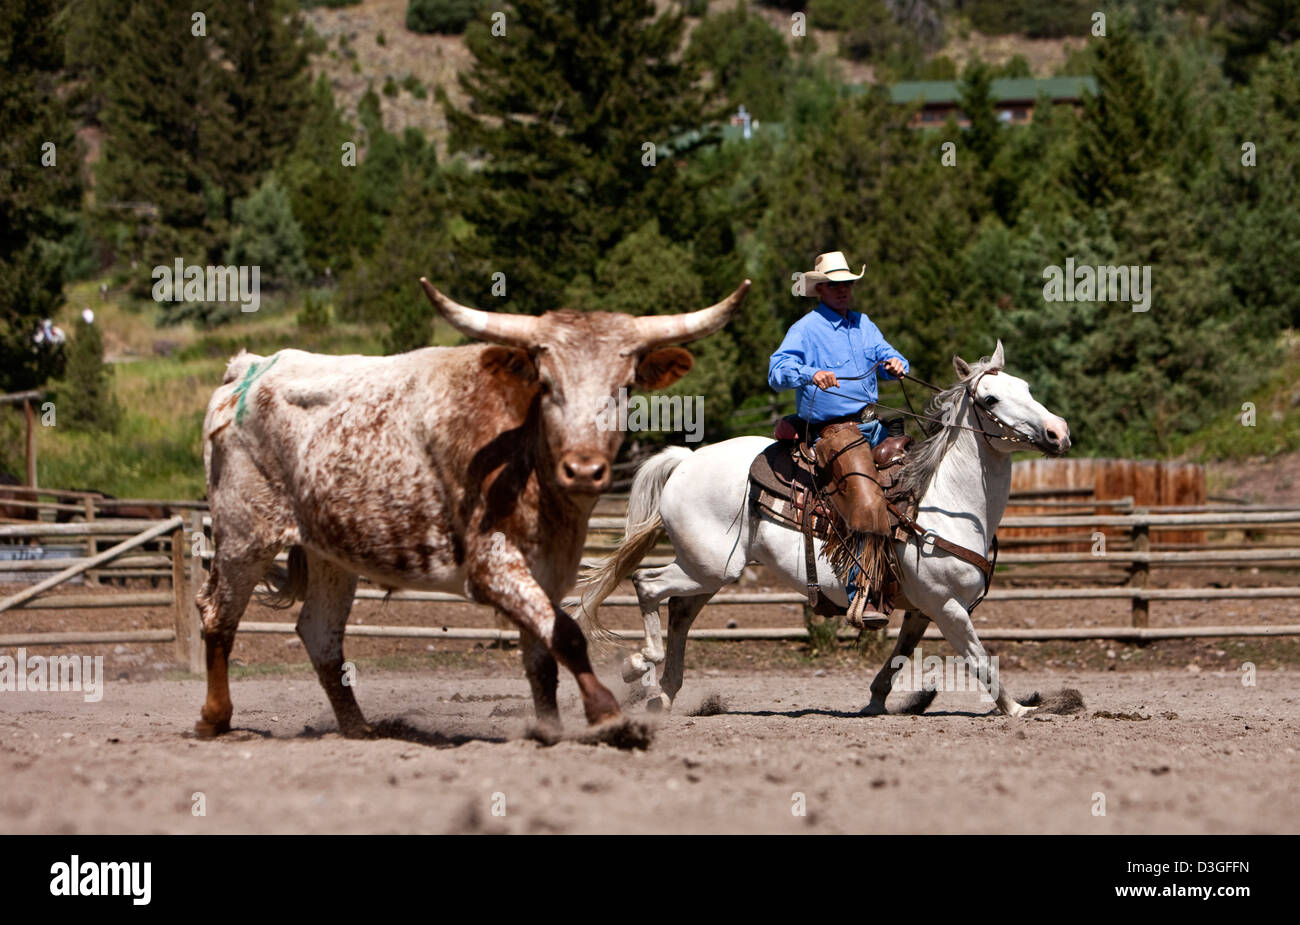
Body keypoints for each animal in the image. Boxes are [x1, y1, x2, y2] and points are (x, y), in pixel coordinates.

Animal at [195, 277, 750, 741]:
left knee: (319, 634)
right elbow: (568, 636)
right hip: (245, 536)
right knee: (218, 614)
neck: (524, 456)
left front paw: (548, 728)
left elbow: (543, 651)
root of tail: (244, 370)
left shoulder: (546, 569)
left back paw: (358, 729)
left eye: (625, 385)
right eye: (547, 384)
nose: (585, 470)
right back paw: (215, 719)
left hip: (331, 552)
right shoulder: (493, 564)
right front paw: (606, 714)